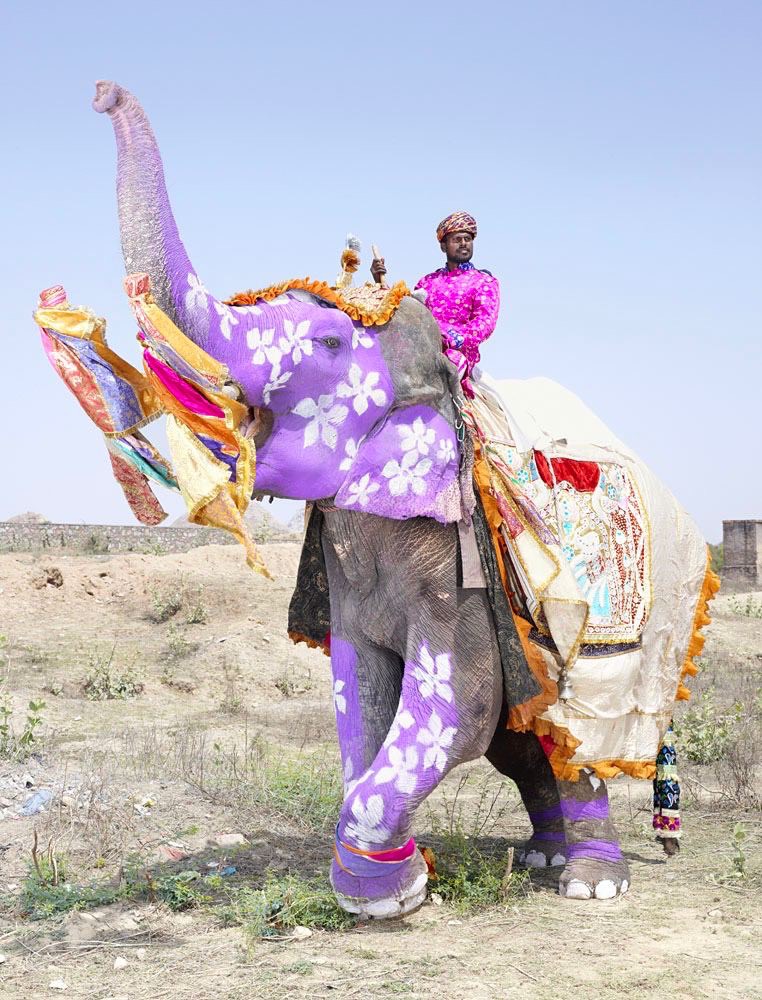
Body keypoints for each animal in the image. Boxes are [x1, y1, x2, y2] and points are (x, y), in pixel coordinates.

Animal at [56, 82, 708, 916]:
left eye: (330, 345)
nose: (101, 92)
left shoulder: (459, 563)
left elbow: (458, 705)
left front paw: (386, 894)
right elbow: (357, 687)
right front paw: (391, 883)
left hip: (629, 641)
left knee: (577, 739)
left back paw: (589, 883)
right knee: (528, 742)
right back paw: (542, 857)